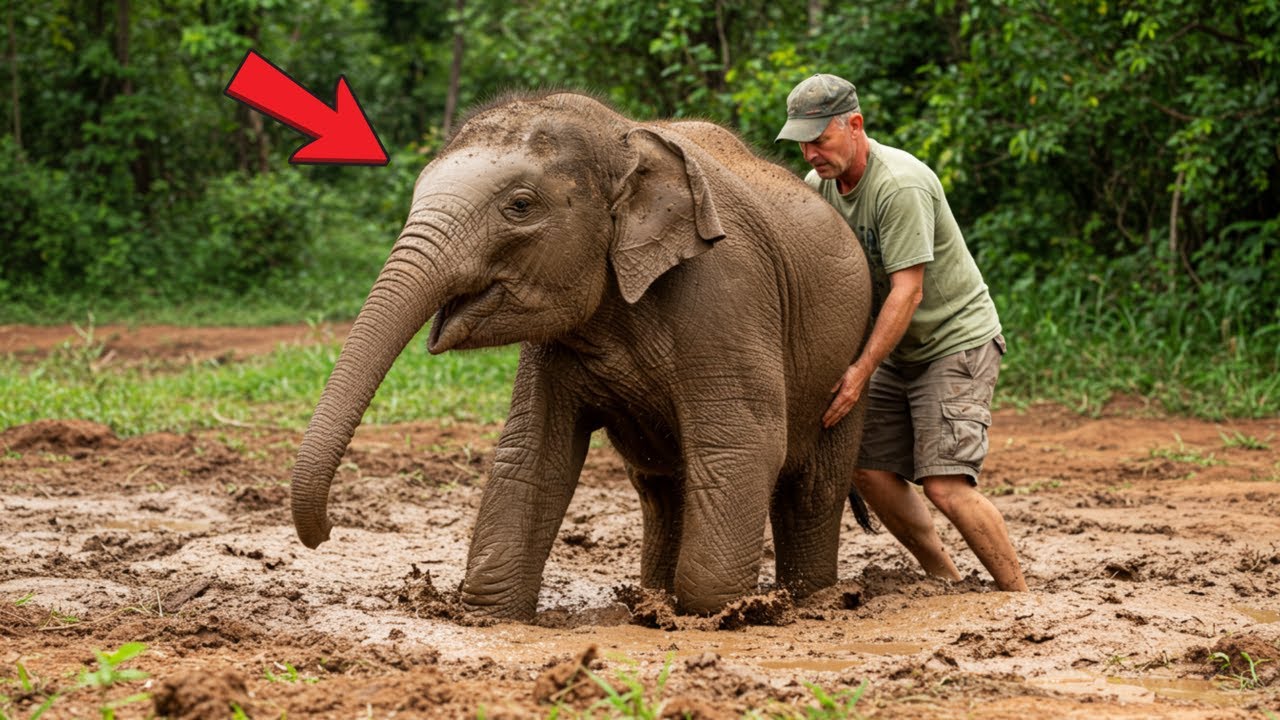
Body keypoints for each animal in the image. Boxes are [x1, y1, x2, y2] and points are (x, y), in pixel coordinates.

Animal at [289, 91, 873, 621]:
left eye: (521, 206)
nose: (328, 532)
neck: (624, 140)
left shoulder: (727, 289)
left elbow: (741, 443)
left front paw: (722, 612)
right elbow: (533, 453)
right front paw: (489, 615)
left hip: (848, 362)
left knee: (811, 486)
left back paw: (813, 600)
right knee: (663, 487)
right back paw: (656, 598)